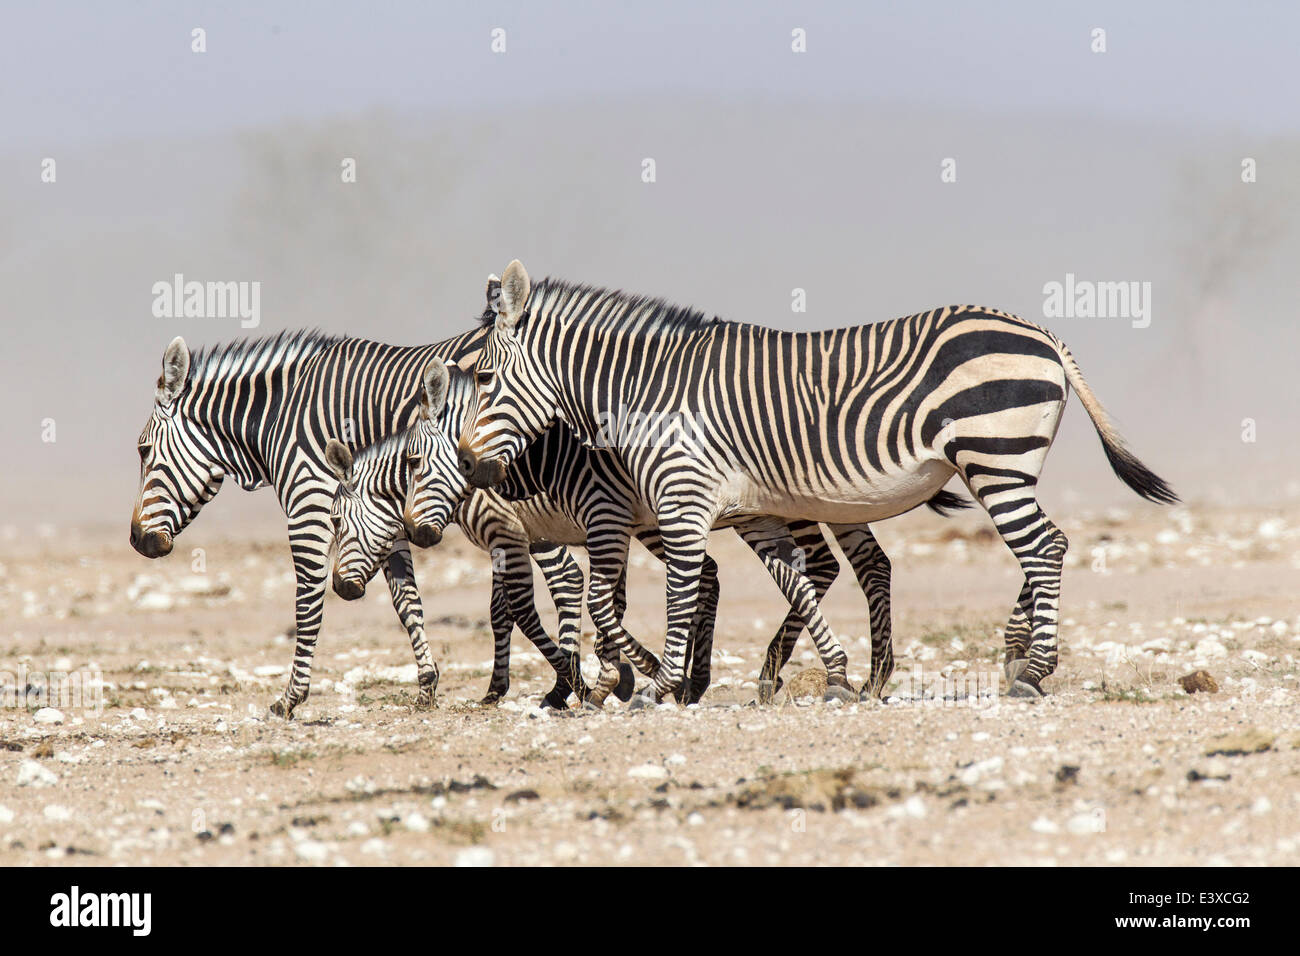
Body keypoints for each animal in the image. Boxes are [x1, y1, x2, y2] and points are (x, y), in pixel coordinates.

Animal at [128, 325, 587, 717]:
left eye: (143, 450)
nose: (136, 540)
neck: (278, 416)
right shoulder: (384, 519)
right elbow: (407, 601)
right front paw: (426, 686)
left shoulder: (308, 507)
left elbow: (307, 605)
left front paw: (291, 697)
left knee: (562, 580)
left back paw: (565, 683)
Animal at [456, 260, 1178, 706]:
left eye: (483, 378)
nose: (469, 465)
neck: (645, 394)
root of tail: (1043, 334)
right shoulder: (749, 509)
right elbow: (798, 585)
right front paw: (833, 677)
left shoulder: (682, 500)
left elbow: (675, 598)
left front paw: (656, 686)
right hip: (1002, 464)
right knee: (1037, 549)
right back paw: (1016, 655)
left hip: (992, 457)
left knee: (1044, 547)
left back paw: (1032, 669)